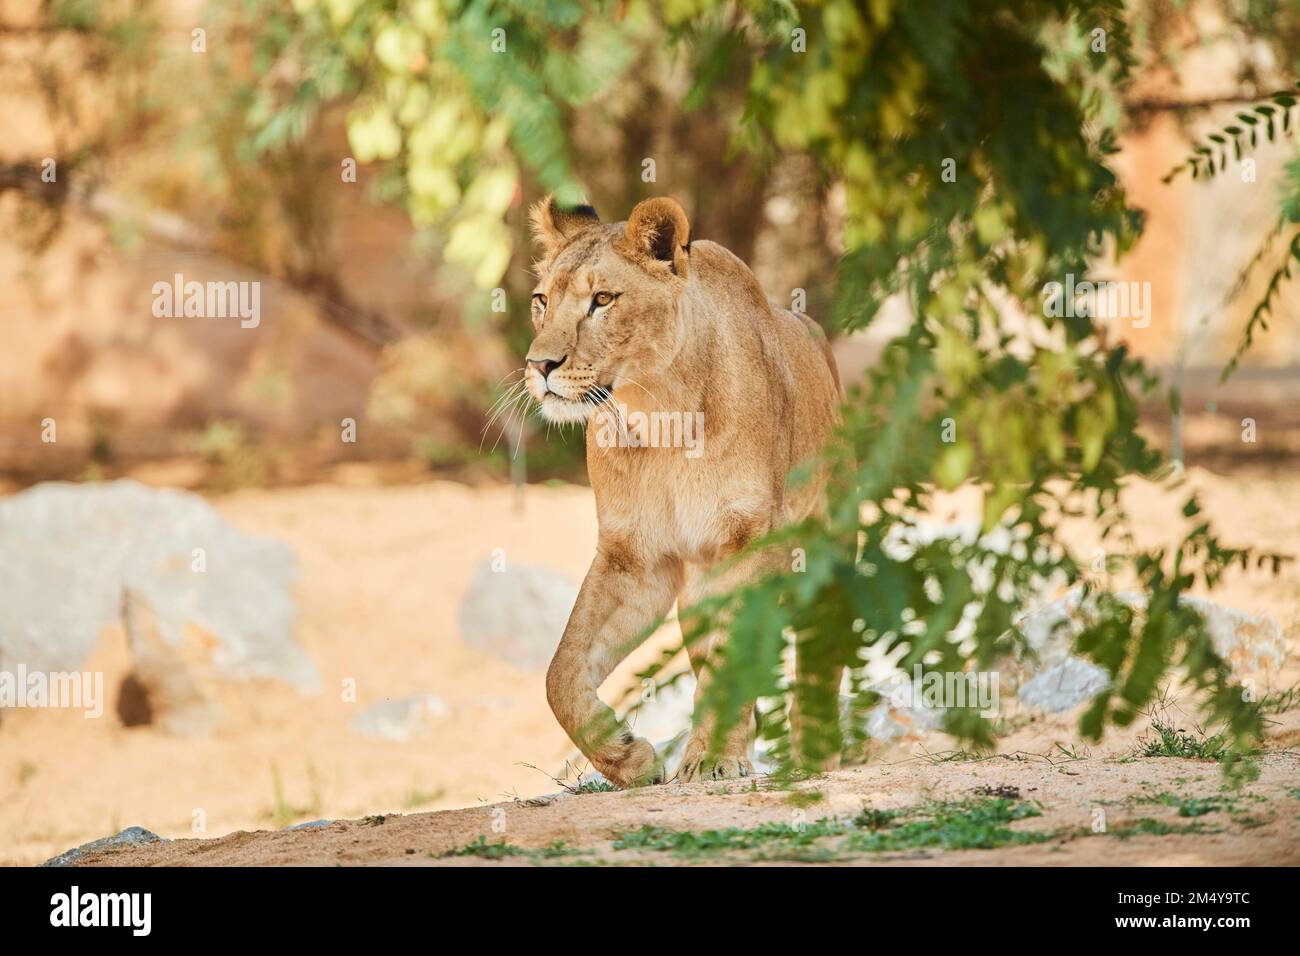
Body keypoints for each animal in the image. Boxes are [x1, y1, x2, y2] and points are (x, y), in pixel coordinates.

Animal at [524, 195, 842, 786]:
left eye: (602, 300)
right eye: (541, 301)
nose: (539, 365)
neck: (659, 413)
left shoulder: (752, 539)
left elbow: (734, 657)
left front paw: (714, 759)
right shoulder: (635, 559)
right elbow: (562, 673)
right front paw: (629, 759)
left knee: (819, 657)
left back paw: (813, 752)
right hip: (696, 594)